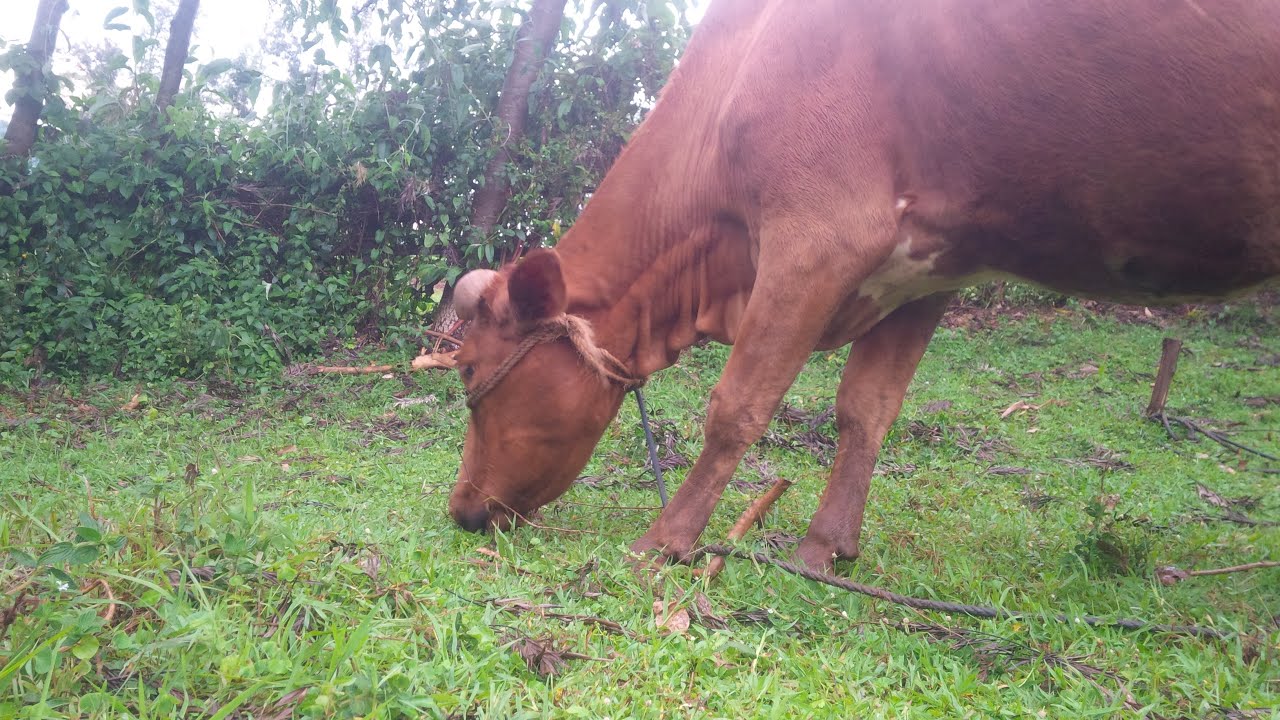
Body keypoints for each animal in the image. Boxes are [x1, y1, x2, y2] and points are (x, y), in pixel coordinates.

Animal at [446, 0, 1280, 571]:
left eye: (470, 374)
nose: (460, 510)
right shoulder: (930, 266)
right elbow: (866, 409)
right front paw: (824, 549)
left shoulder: (816, 236)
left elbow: (735, 407)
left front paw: (666, 540)